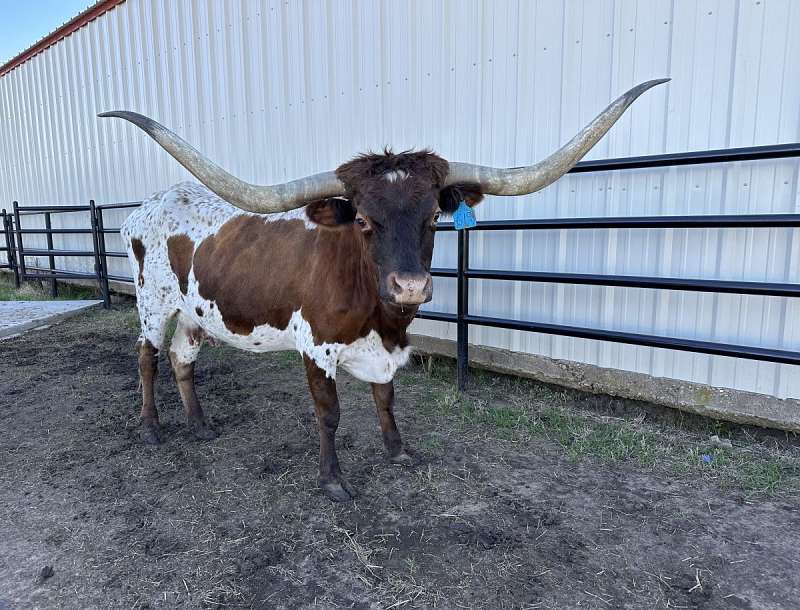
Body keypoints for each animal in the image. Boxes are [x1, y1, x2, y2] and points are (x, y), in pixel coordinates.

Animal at [101, 79, 667, 501]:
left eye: (434, 216)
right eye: (365, 220)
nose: (411, 286)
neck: (380, 316)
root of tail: (150, 204)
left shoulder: (388, 347)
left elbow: (386, 397)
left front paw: (398, 451)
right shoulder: (315, 348)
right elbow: (329, 414)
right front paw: (332, 480)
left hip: (194, 313)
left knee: (183, 358)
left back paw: (200, 425)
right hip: (152, 305)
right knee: (147, 357)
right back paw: (152, 428)